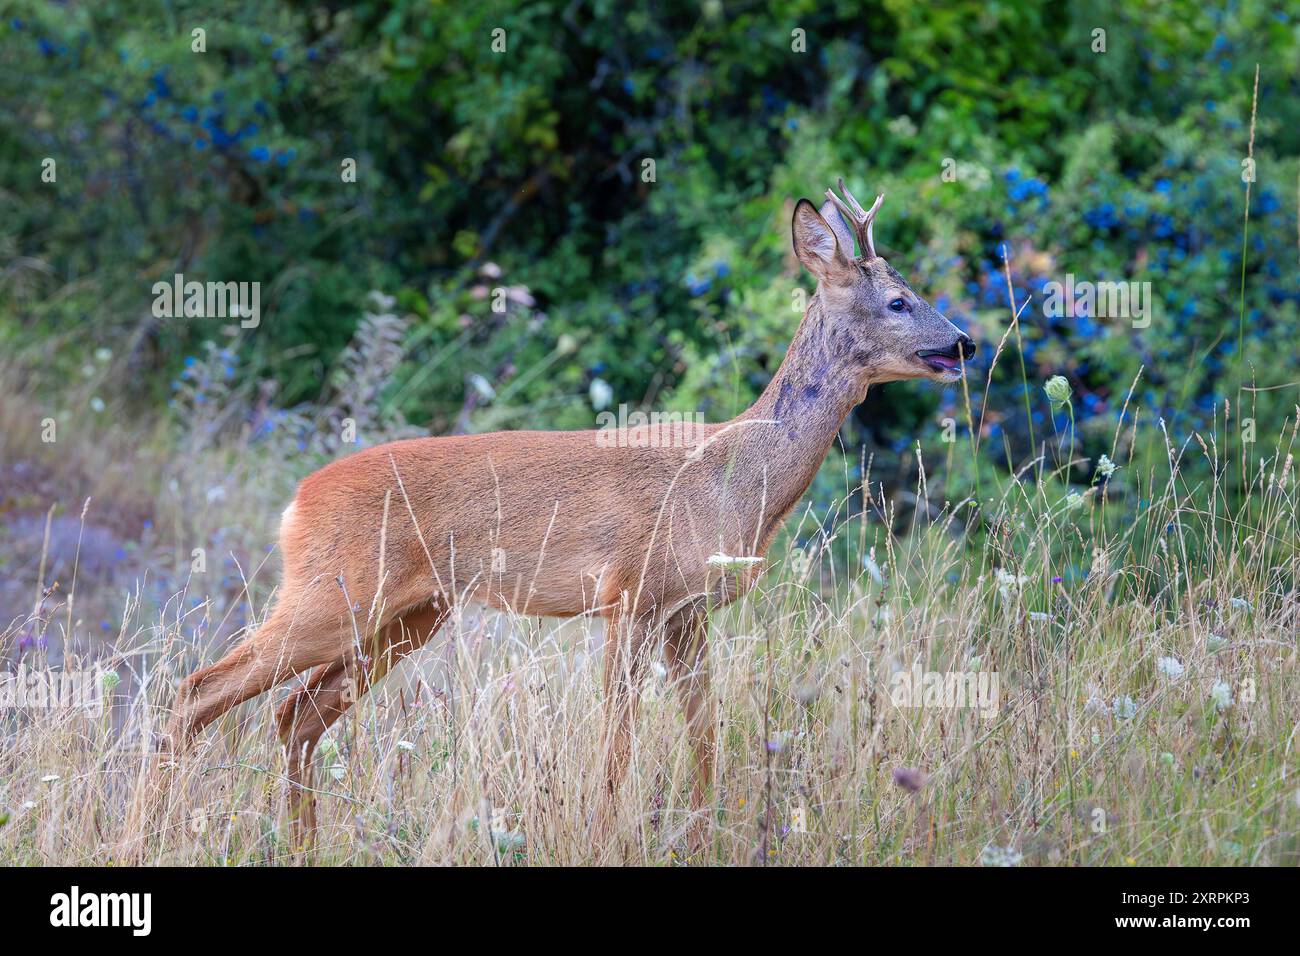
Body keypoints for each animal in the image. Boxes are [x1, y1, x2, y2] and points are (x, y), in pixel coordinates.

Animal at [126, 178, 973, 857]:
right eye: (898, 300)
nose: (963, 342)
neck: (735, 481)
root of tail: (299, 499)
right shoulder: (632, 596)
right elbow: (618, 745)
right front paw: (603, 838)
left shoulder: (689, 611)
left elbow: (704, 734)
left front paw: (709, 836)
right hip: (333, 592)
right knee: (197, 691)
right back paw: (150, 836)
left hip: (410, 614)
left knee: (296, 716)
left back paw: (301, 846)